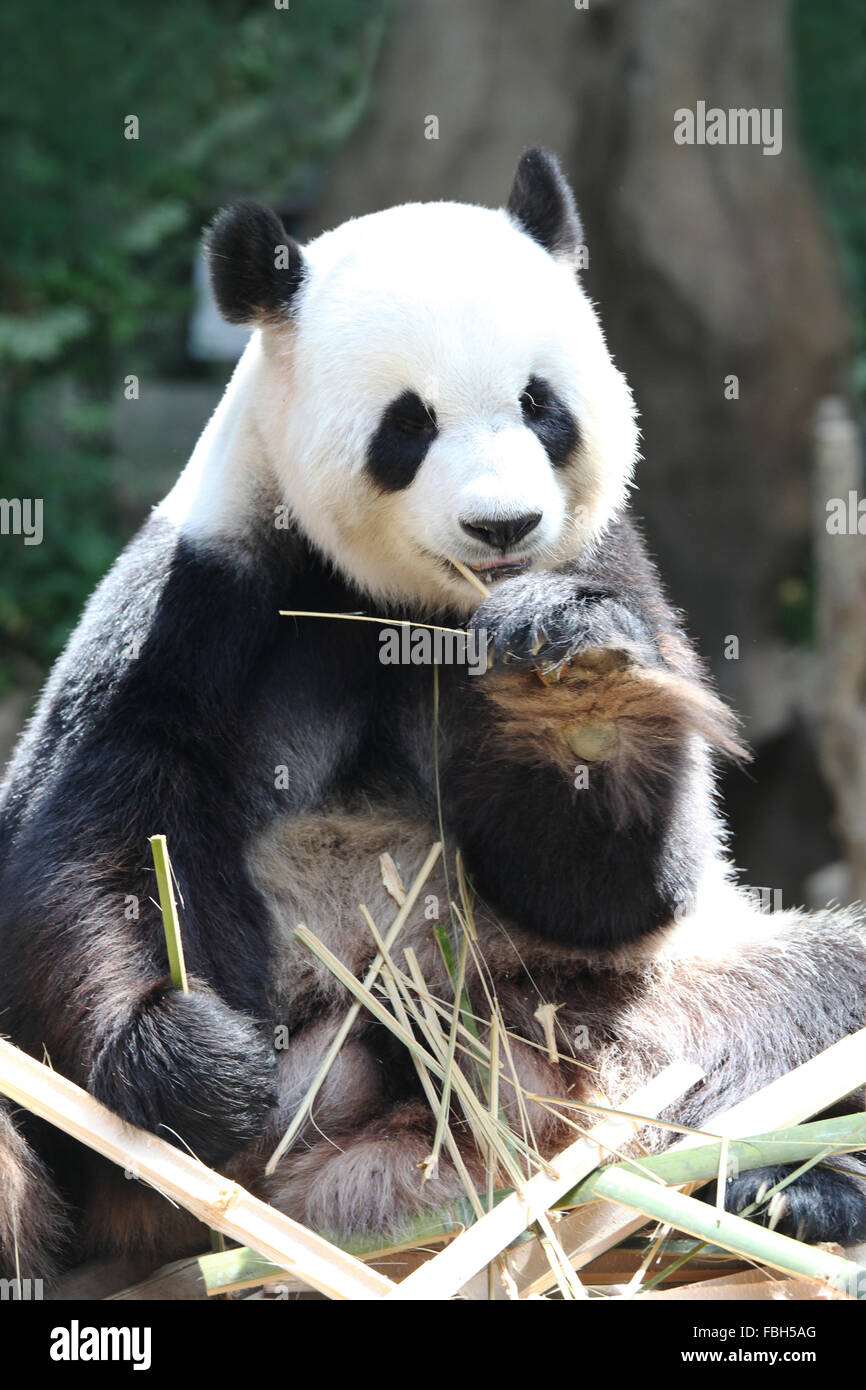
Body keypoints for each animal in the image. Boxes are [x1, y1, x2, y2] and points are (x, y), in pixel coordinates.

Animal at [2, 148, 866, 1282]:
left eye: (540, 404)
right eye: (407, 424)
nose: (503, 525)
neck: (417, 613)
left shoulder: (610, 571)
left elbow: (614, 886)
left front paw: (572, 694)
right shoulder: (198, 609)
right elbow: (104, 849)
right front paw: (198, 1062)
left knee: (806, 998)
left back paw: (788, 1189)